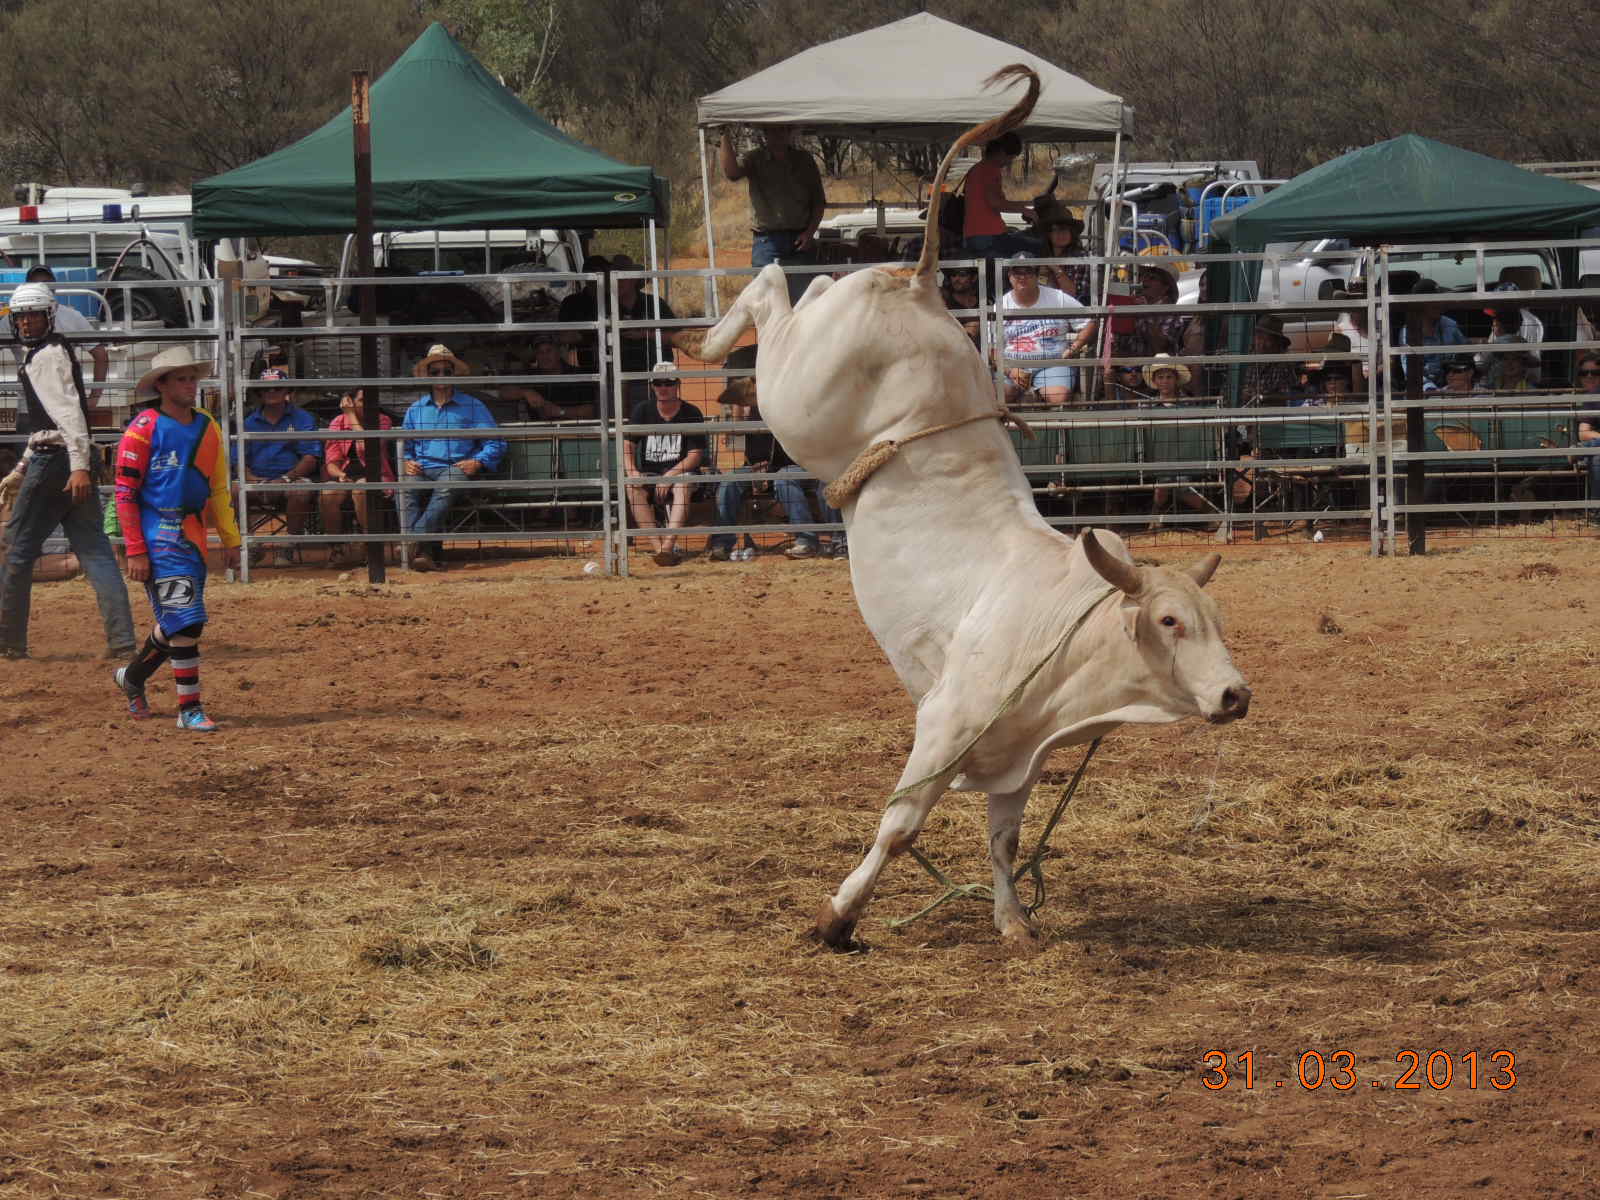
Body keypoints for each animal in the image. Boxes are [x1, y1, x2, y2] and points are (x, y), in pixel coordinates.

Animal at [682, 66, 1251, 950]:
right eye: (1168, 621)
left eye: (1215, 617)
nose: (1234, 695)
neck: (1068, 637)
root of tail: (916, 279)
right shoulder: (946, 724)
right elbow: (901, 825)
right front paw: (839, 915)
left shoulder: (1018, 756)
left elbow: (1003, 838)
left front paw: (1013, 921)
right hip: (796, 391)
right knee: (777, 291)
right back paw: (709, 340)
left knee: (802, 287)